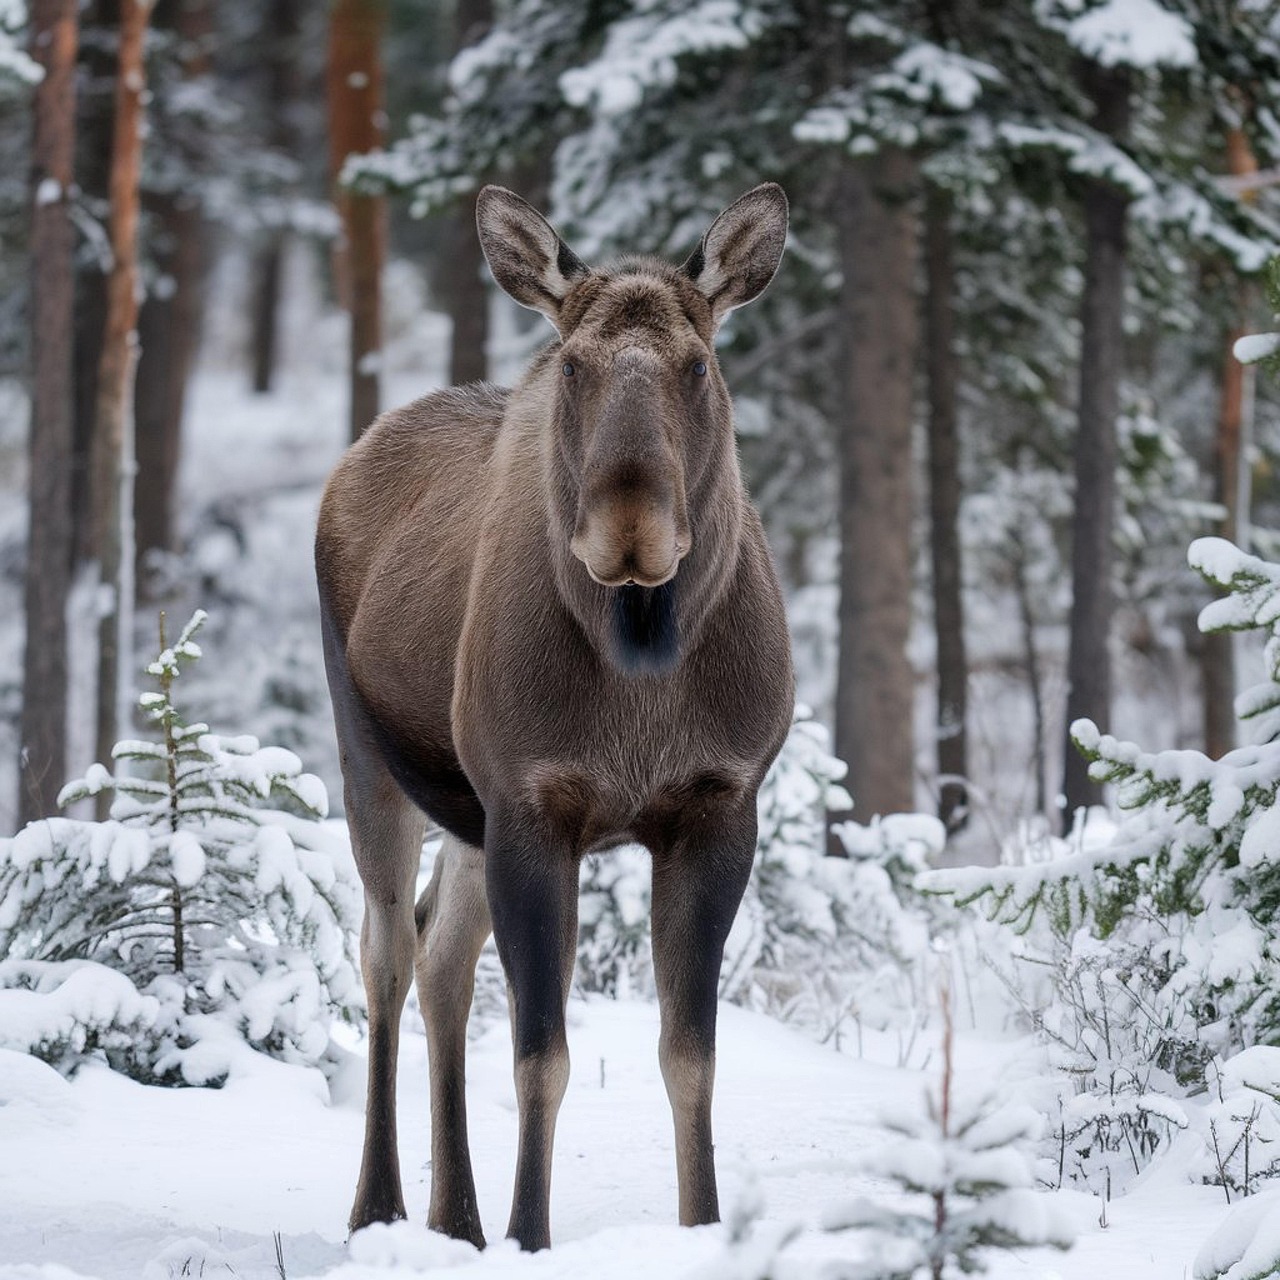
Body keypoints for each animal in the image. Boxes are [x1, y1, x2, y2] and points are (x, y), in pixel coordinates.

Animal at [315, 183, 795, 1253]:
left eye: (697, 363)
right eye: (572, 364)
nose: (630, 528)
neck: (643, 656)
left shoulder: (717, 807)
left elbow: (689, 1055)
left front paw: (701, 1225)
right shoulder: (535, 804)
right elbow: (544, 1056)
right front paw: (531, 1234)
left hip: (467, 814)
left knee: (444, 957)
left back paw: (457, 1219)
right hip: (369, 758)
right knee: (388, 956)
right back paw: (380, 1208)